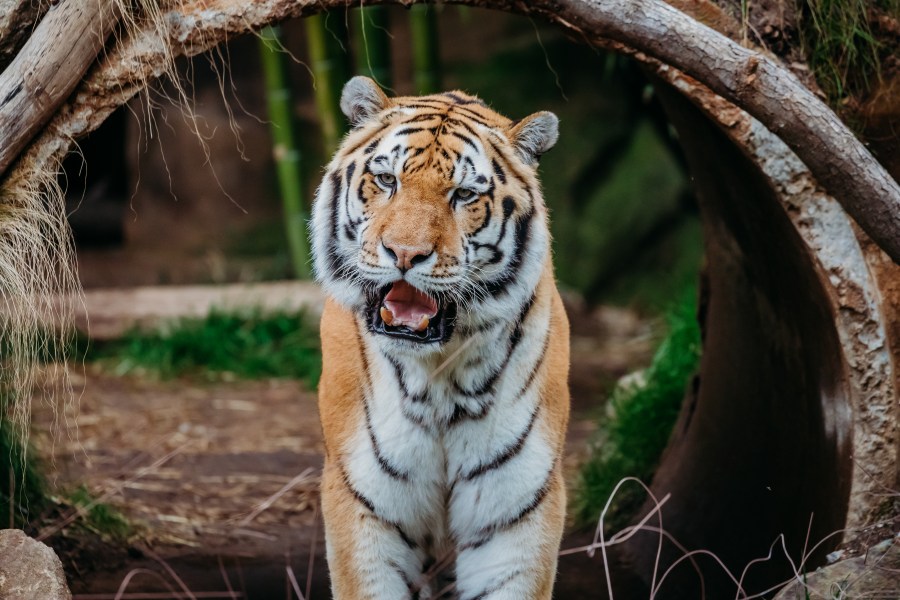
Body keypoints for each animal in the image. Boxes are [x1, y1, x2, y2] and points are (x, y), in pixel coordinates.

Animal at [310, 76, 570, 600]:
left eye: (464, 194)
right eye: (387, 180)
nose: (405, 253)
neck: (438, 373)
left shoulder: (517, 511)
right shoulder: (363, 500)